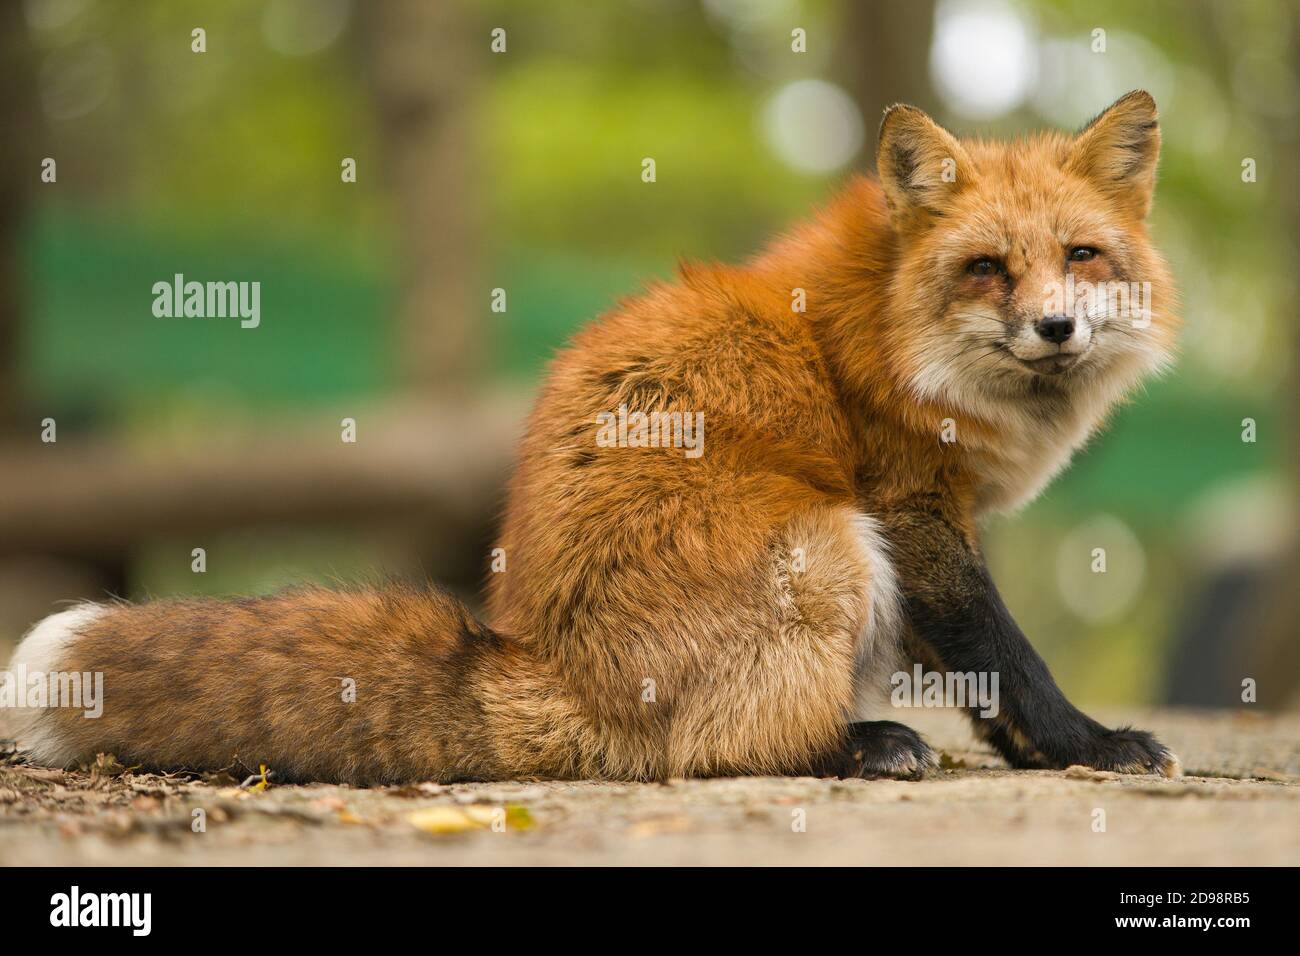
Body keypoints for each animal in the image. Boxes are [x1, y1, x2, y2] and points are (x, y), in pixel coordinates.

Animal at [4, 91, 1180, 784]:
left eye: (1080, 256)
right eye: (987, 268)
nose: (1056, 328)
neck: (891, 329)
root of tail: (546, 658)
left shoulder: (938, 527)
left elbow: (978, 676)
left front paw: (1034, 751)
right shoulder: (908, 508)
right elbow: (1005, 652)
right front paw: (1086, 744)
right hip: (830, 545)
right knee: (710, 748)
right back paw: (853, 746)